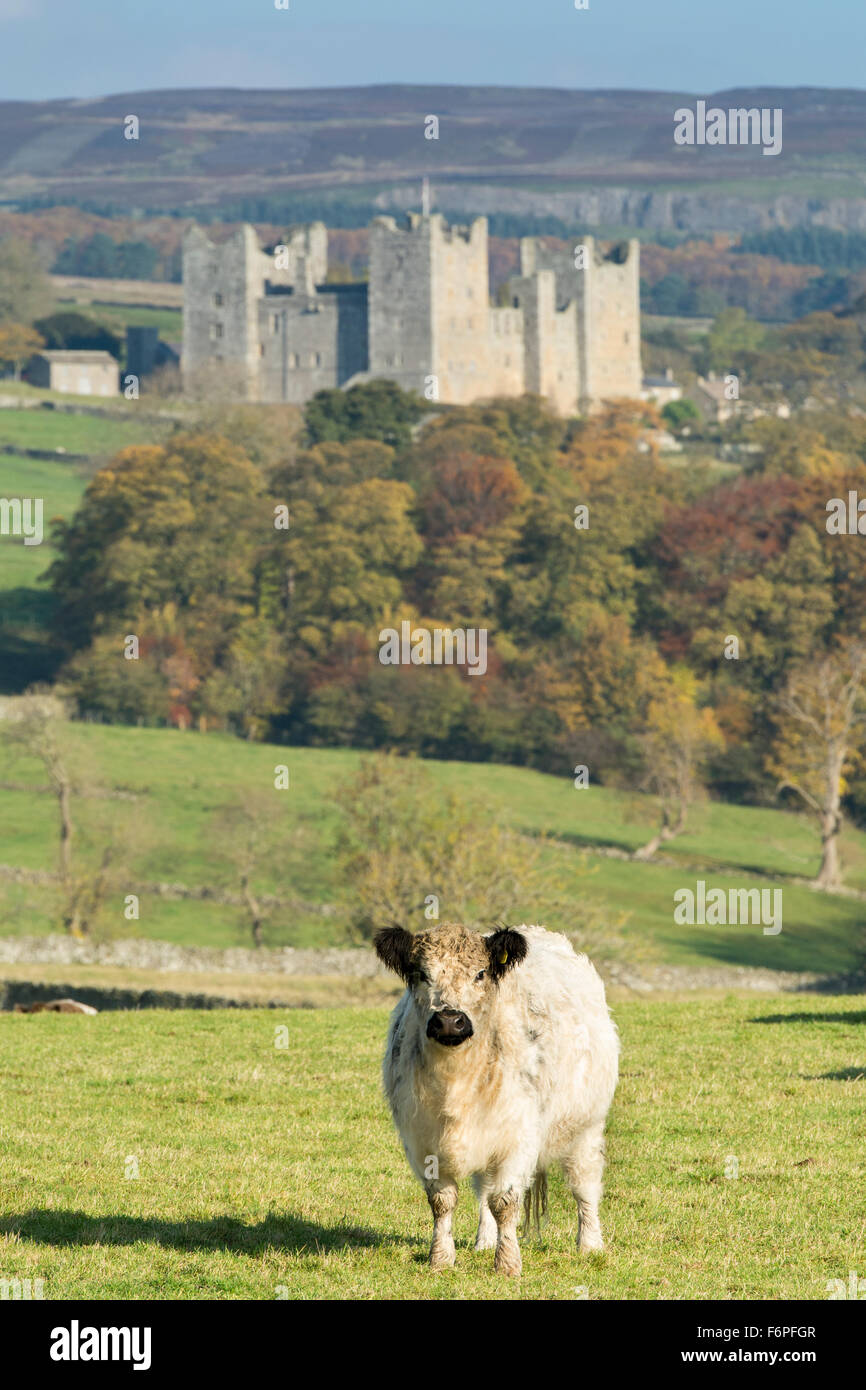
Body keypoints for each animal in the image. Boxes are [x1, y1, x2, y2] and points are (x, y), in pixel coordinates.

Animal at [374, 921, 619, 1277]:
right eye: (421, 973)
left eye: (480, 973)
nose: (449, 1020)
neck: (456, 1080)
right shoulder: (420, 1140)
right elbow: (442, 1201)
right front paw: (441, 1259)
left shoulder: (519, 1137)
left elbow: (505, 1202)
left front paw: (507, 1264)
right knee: (484, 1190)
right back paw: (485, 1240)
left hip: (586, 1126)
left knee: (584, 1183)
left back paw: (590, 1244)